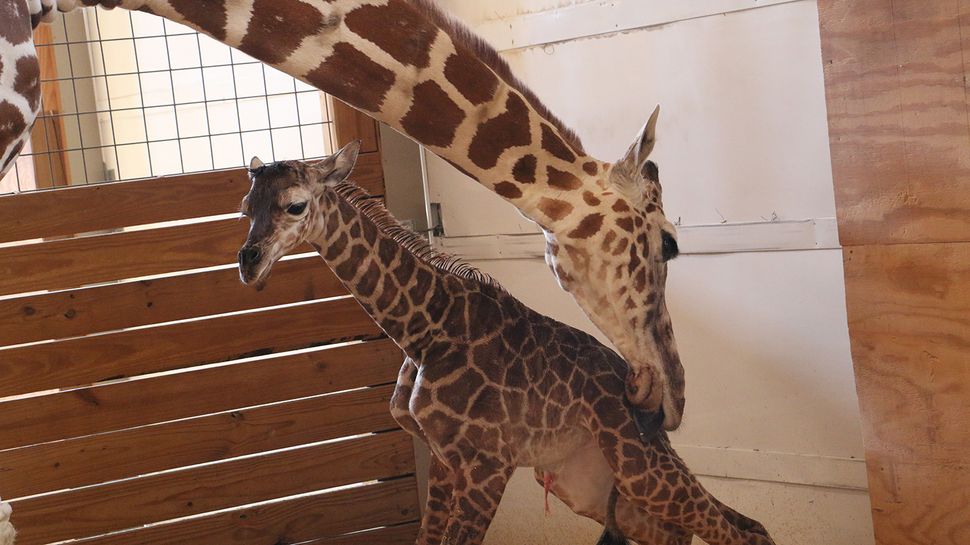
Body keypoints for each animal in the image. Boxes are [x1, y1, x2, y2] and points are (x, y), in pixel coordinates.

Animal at [237, 141, 775, 545]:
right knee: (700, 531)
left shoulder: (488, 463)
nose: (248, 263)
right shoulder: (443, 458)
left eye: (295, 205)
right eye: (245, 208)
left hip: (638, 465)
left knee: (742, 530)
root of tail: (655, 416)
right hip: (589, 485)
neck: (422, 333)